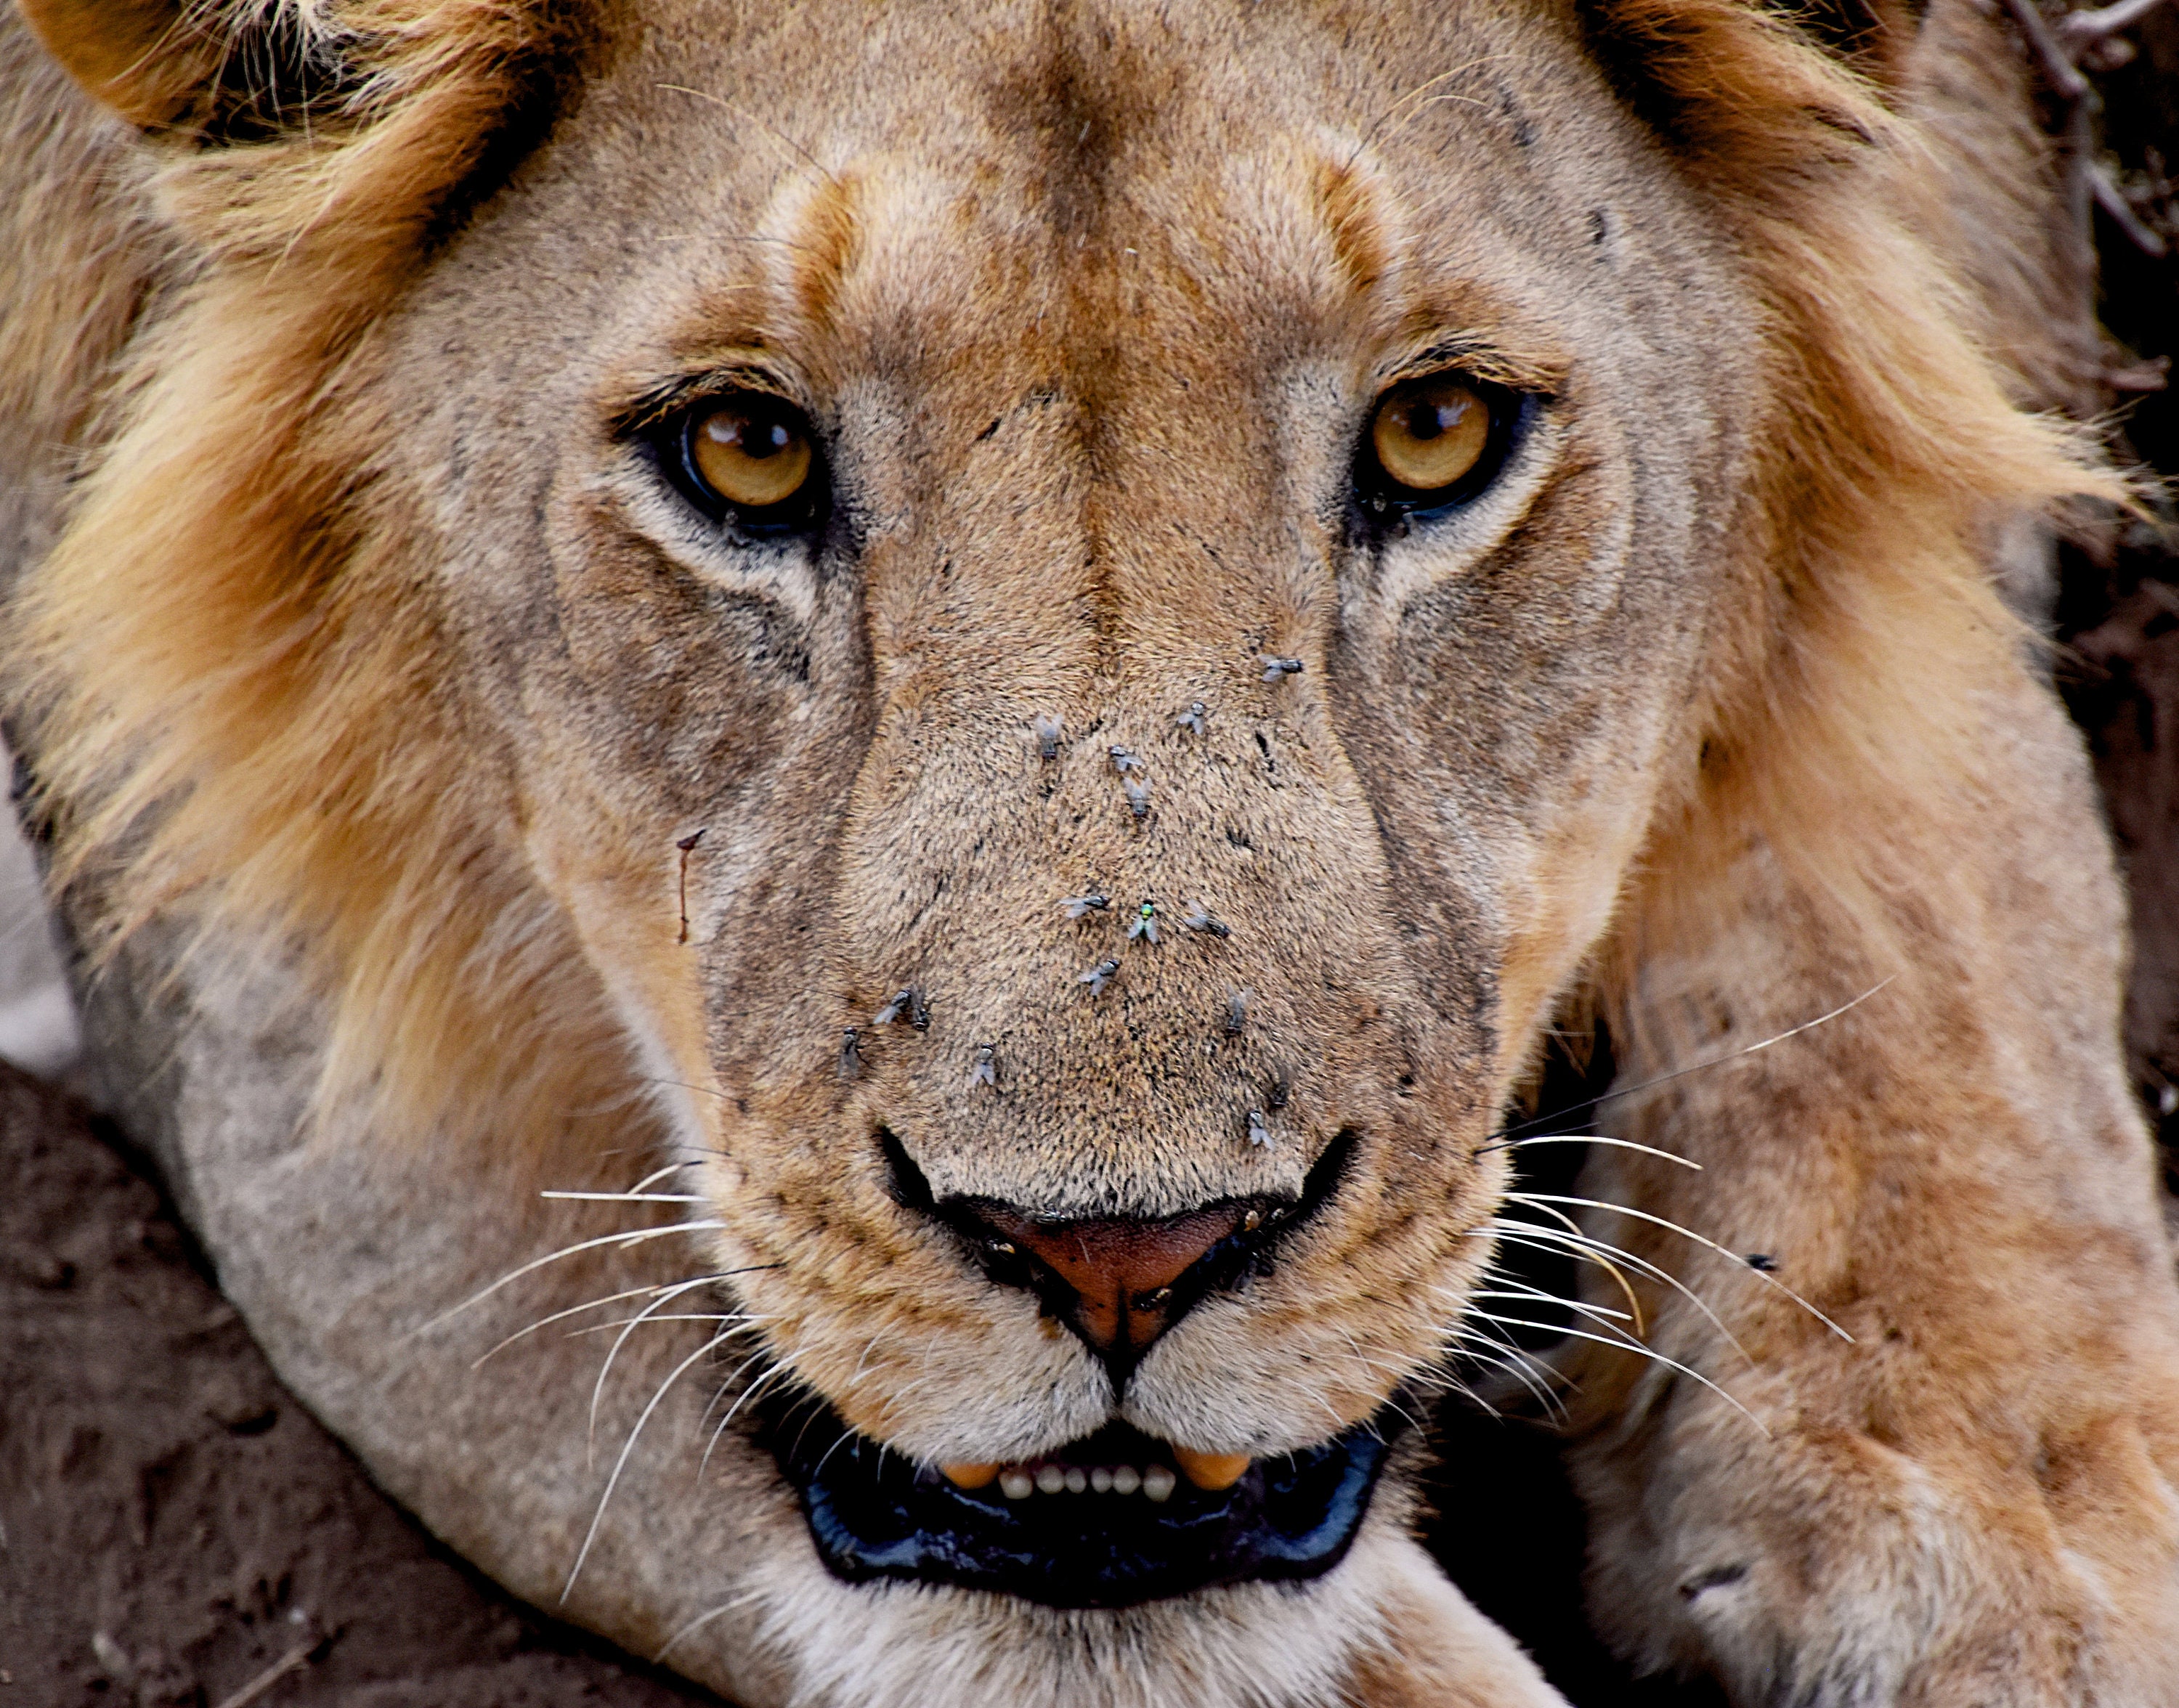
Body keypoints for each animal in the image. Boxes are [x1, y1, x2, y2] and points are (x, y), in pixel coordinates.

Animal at [5, 0, 2179, 1702]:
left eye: (1440, 437)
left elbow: (1933, 858)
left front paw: (2006, 1505)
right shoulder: (294, 1086)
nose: (1120, 1258)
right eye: (744, 455)